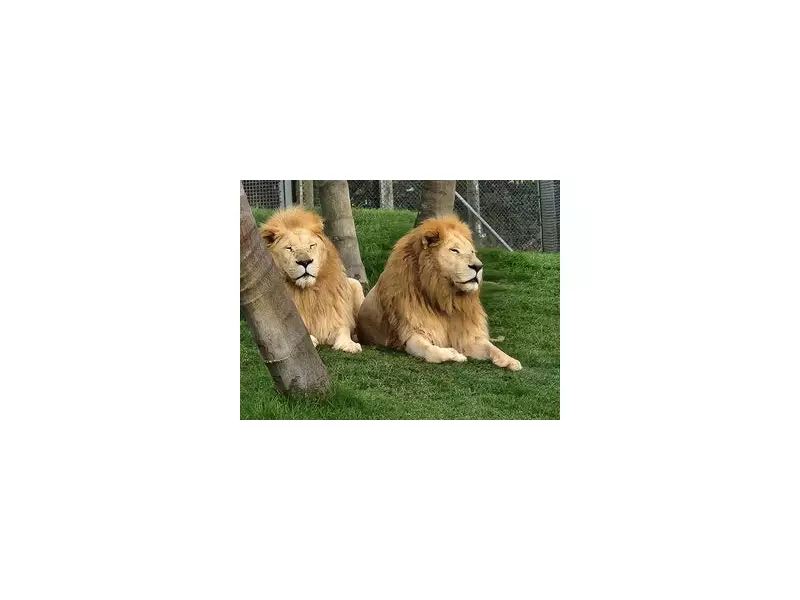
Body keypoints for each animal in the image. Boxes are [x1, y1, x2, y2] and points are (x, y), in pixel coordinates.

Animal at [260, 208, 364, 353]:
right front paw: (312, 339)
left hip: (356, 284)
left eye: (311, 246)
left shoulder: (337, 317)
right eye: (289, 248)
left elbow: (343, 330)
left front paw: (349, 345)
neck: (309, 293)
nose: (305, 262)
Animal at [356, 215, 522, 370]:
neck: (446, 298)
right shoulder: (412, 332)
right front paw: (454, 354)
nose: (478, 266)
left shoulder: (467, 336)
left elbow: (491, 347)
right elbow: (430, 350)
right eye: (454, 250)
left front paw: (511, 360)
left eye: (472, 252)